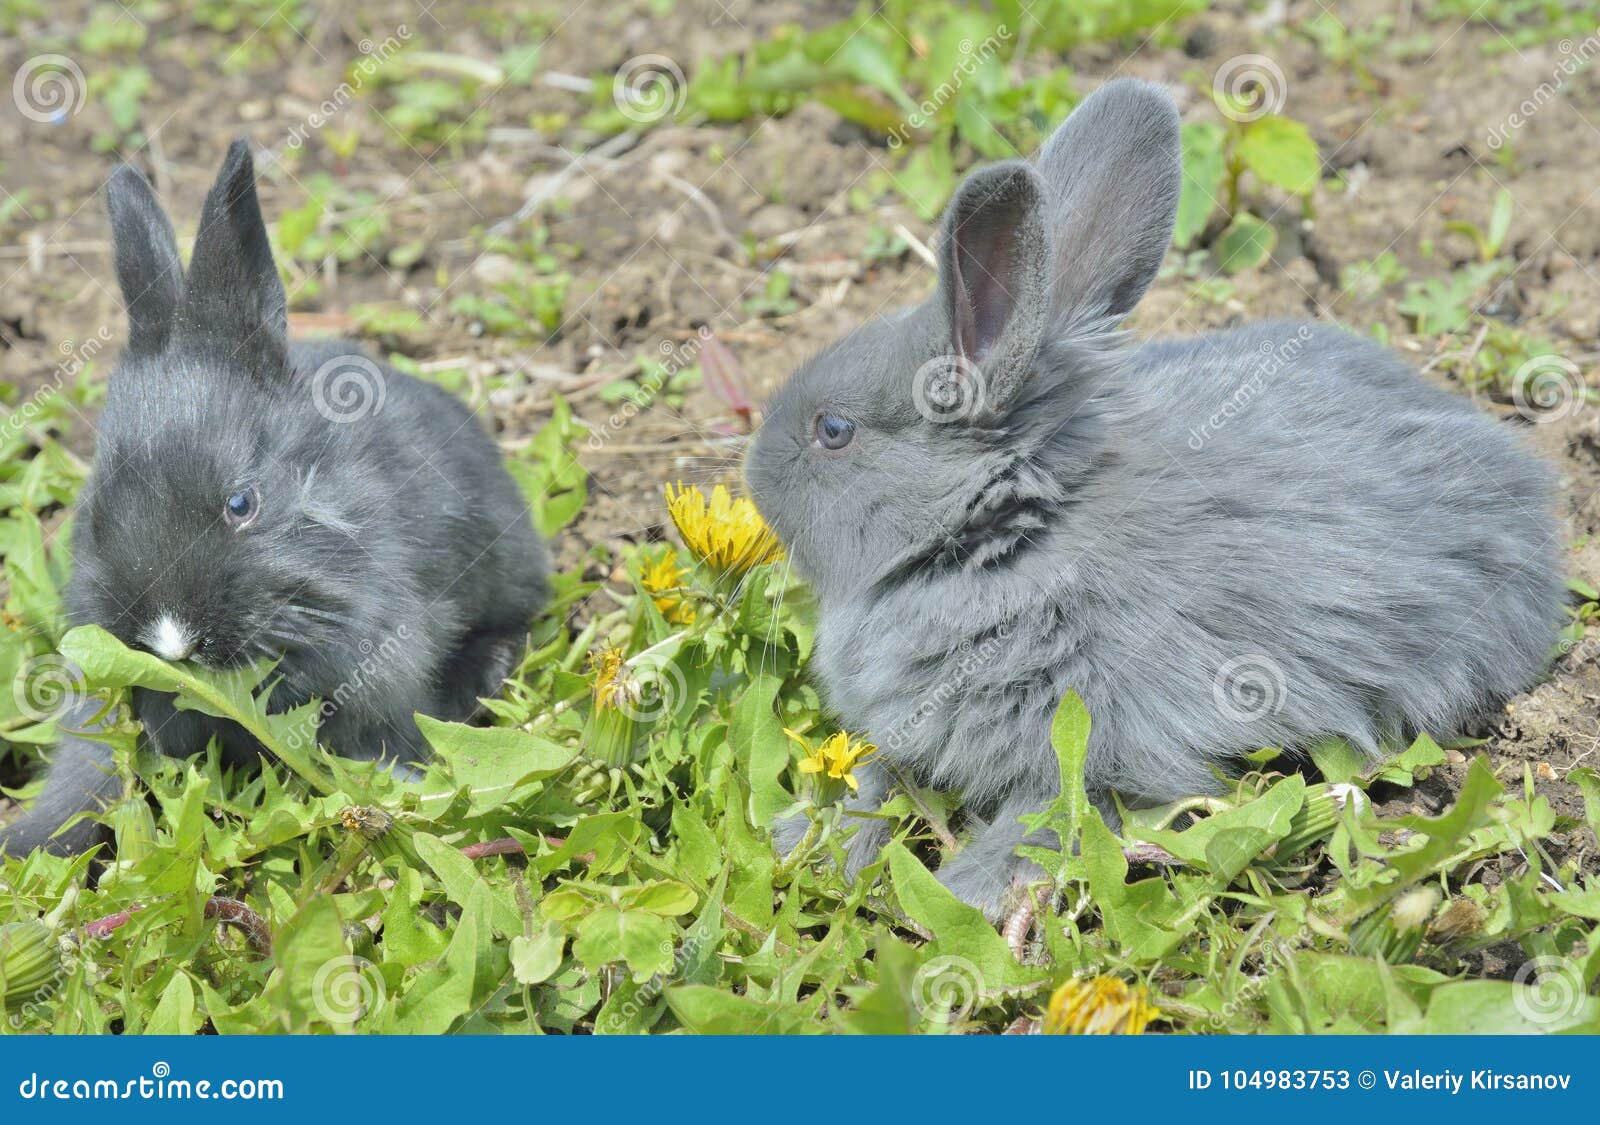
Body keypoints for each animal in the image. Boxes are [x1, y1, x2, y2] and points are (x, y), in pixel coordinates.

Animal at [745, 79, 1565, 918]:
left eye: (833, 430)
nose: (752, 471)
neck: (1012, 534)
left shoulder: (1098, 745)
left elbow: (1050, 815)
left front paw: (959, 898)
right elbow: (871, 777)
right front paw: (805, 843)